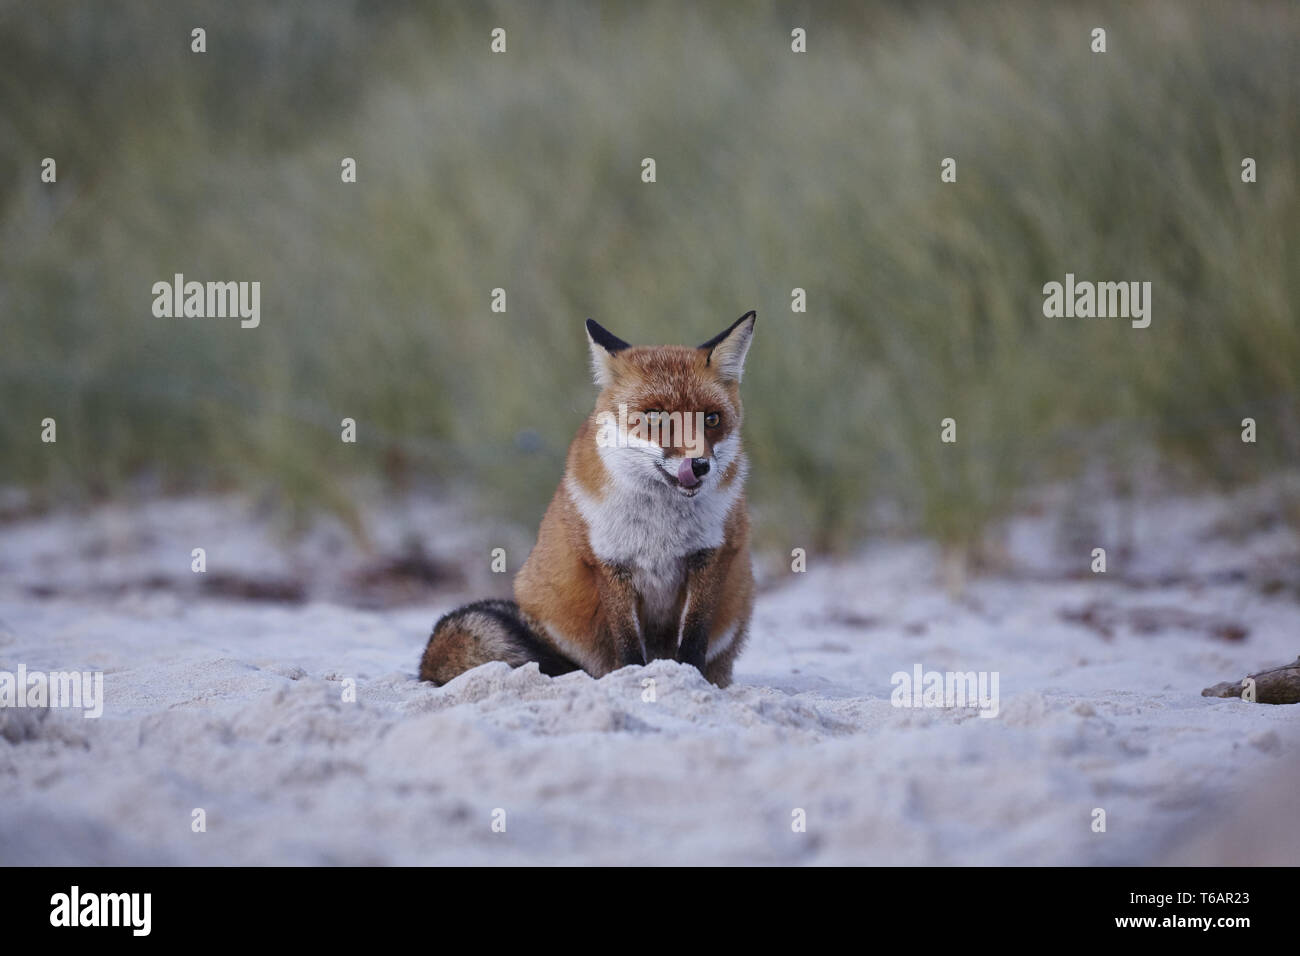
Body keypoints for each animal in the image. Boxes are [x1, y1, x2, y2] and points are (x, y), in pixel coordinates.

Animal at [419, 310, 757, 688]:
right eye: (656, 417)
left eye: (711, 418)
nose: (699, 465)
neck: (661, 527)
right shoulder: (608, 563)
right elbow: (627, 643)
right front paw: (633, 679)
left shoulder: (712, 554)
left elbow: (695, 638)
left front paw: (689, 678)